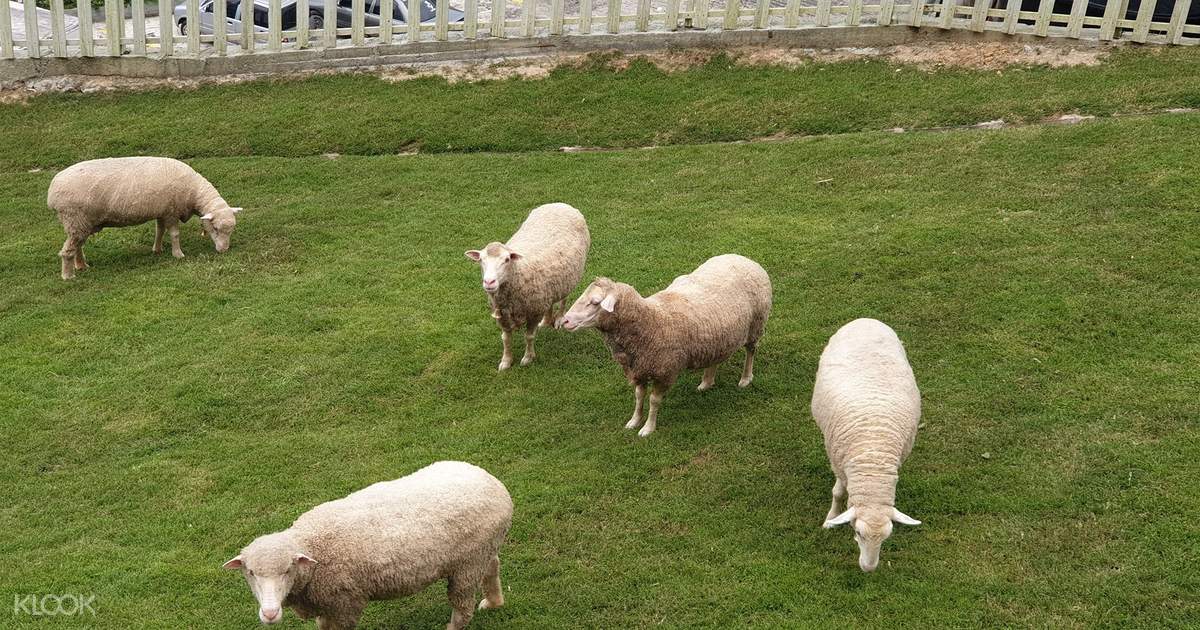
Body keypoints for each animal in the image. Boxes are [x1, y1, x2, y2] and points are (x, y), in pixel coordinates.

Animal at [46, 156, 242, 280]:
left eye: (230, 231)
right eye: (215, 228)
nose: (224, 250)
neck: (193, 192)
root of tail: (51, 193)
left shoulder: (163, 210)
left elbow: (159, 230)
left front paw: (157, 249)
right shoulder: (171, 211)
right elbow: (174, 234)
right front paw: (178, 254)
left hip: (81, 222)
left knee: (78, 245)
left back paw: (81, 265)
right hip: (75, 219)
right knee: (68, 249)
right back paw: (68, 275)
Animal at [222, 461, 513, 630]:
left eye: (287, 570)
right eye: (250, 573)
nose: (270, 613)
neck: (313, 544)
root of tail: (497, 485)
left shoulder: (345, 603)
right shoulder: (327, 604)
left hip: (467, 565)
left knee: (462, 606)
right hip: (484, 550)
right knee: (493, 568)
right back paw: (494, 602)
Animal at [465, 203, 590, 370]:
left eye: (507, 259)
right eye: (481, 260)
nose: (489, 282)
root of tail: (561, 204)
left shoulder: (534, 312)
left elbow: (529, 336)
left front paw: (528, 358)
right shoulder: (503, 315)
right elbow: (505, 338)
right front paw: (506, 361)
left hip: (569, 277)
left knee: (564, 299)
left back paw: (558, 318)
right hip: (549, 288)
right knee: (550, 303)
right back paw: (546, 321)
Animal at [557, 254, 772, 437]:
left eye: (595, 302)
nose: (565, 321)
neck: (650, 321)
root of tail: (744, 258)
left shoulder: (665, 371)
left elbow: (653, 400)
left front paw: (648, 428)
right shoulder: (640, 368)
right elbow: (638, 396)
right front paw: (634, 421)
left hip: (756, 325)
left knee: (751, 351)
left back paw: (745, 378)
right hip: (719, 337)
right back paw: (706, 382)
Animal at [811, 318, 922, 572]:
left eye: (887, 536)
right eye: (858, 533)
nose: (869, 568)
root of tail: (866, 319)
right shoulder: (838, 461)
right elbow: (838, 493)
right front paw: (830, 519)